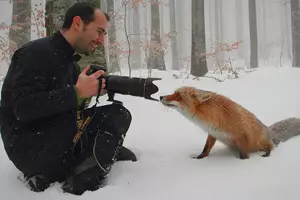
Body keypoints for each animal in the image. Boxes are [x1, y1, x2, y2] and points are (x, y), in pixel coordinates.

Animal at [161, 86, 300, 159]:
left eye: (179, 96)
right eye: (173, 93)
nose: (161, 96)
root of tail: (269, 131)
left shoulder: (242, 135)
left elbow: (243, 155)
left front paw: (243, 163)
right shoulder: (213, 133)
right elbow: (205, 149)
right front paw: (199, 158)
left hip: (261, 142)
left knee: (271, 147)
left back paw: (267, 153)